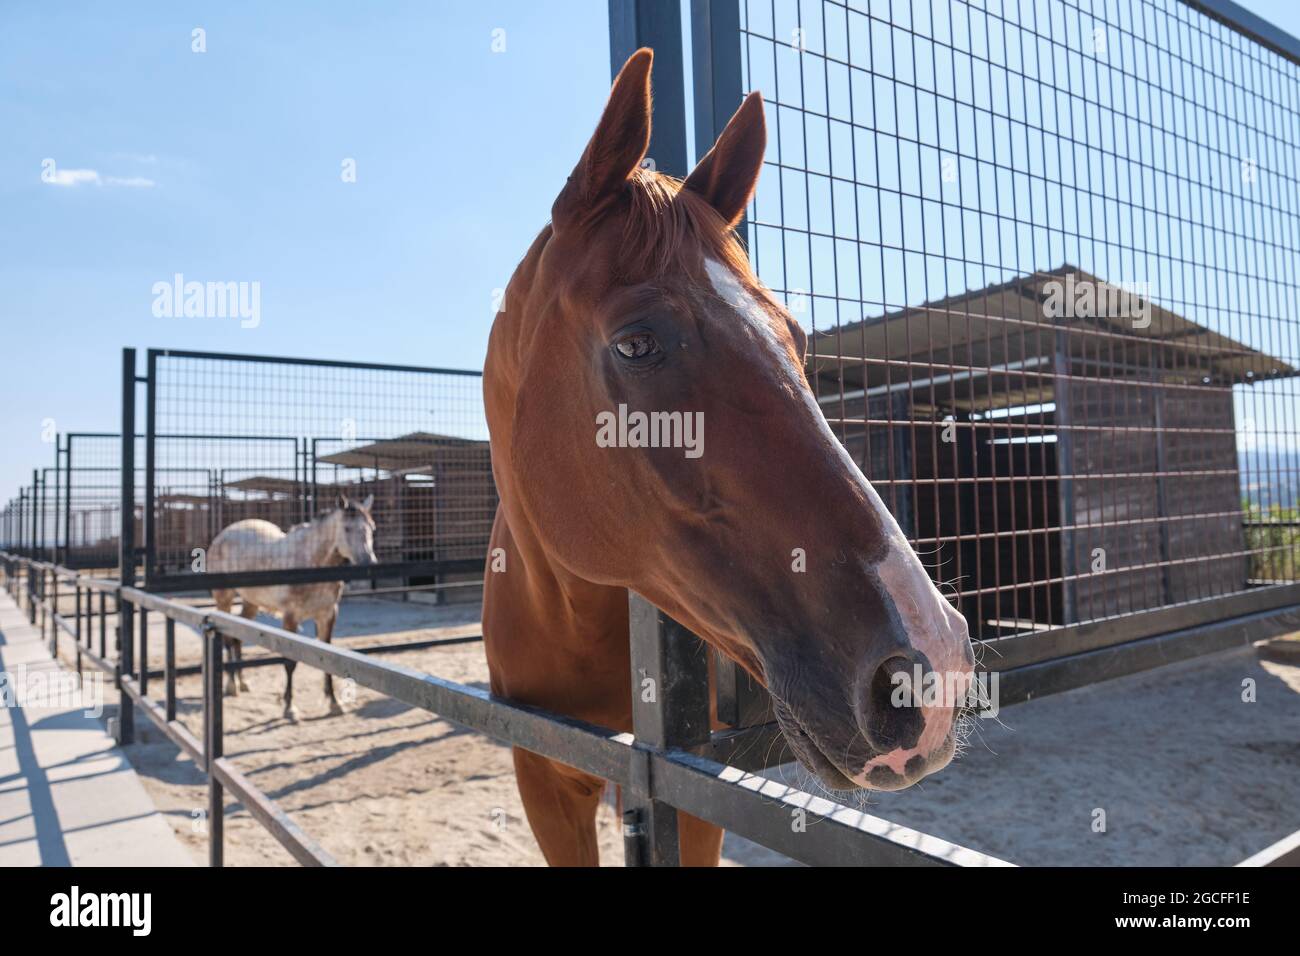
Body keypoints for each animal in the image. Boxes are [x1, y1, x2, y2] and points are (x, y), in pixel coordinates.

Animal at [208, 494, 376, 719]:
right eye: (347, 528)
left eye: (372, 528)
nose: (369, 562)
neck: (312, 563)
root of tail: (222, 535)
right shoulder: (290, 617)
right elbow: (289, 662)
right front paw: (289, 708)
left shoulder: (327, 615)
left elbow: (328, 658)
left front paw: (334, 703)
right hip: (224, 600)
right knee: (228, 639)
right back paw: (231, 685)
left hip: (251, 603)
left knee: (238, 637)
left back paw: (242, 683)